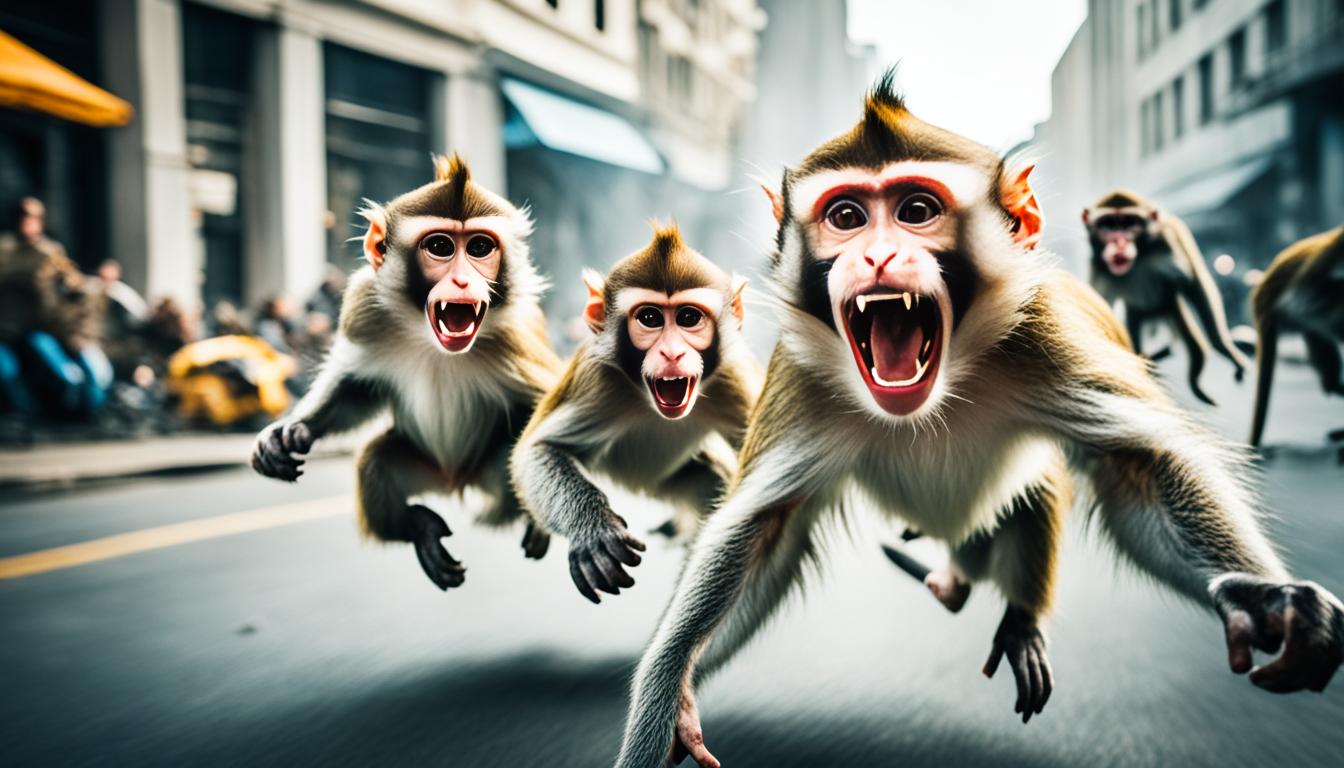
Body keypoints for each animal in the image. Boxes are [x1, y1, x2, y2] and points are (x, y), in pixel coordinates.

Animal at [251, 154, 564, 590]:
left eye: (480, 247)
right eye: (440, 246)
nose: (463, 280)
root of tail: (455, 482)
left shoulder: (517, 339)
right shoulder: (364, 307)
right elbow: (355, 390)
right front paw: (292, 429)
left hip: (492, 467)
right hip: (419, 463)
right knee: (376, 459)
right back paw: (417, 527)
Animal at [510, 224, 760, 603]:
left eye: (689, 318)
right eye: (650, 318)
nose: (672, 353)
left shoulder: (734, 379)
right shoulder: (595, 378)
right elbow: (538, 450)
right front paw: (593, 529)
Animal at [1083, 190, 1250, 405]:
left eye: (1129, 223)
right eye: (1108, 224)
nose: (1119, 242)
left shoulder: (1169, 242)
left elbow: (1193, 284)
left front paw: (1223, 347)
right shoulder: (1097, 269)